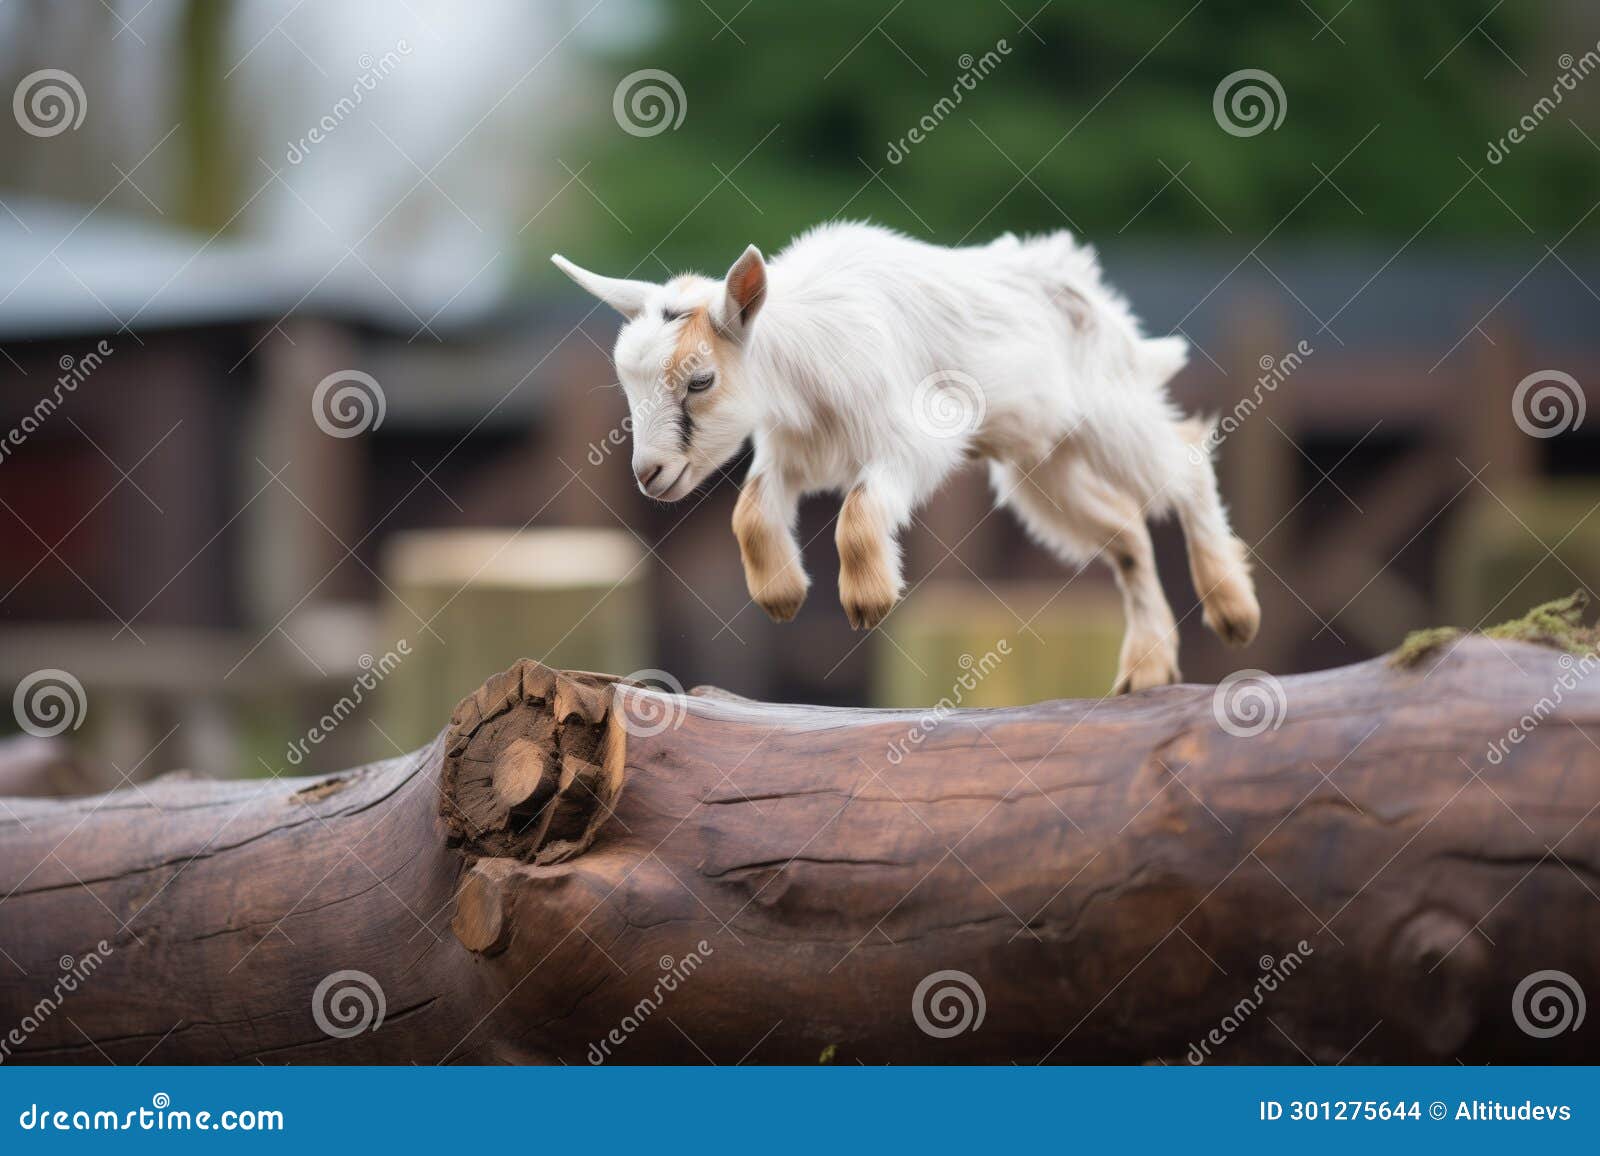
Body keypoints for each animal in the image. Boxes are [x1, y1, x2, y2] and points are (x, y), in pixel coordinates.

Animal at [552, 222, 1258, 693]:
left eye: (700, 380)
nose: (650, 474)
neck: (803, 364)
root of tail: (1088, 290)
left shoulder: (916, 440)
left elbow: (860, 512)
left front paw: (869, 601)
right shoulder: (791, 455)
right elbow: (749, 513)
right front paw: (782, 596)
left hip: (1110, 417)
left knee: (1187, 470)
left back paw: (1233, 611)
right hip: (1039, 467)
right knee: (1126, 533)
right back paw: (1147, 668)